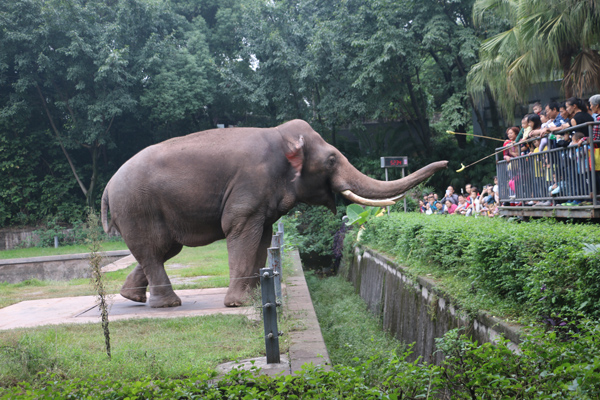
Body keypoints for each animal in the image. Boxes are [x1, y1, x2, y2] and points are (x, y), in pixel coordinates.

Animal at [101, 118, 448, 306]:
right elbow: (241, 230)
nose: (445, 163)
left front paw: (259, 296)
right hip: (137, 207)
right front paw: (238, 303)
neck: (281, 136)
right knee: (155, 249)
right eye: (332, 159)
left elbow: (264, 236)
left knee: (163, 250)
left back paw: (134, 299)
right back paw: (169, 303)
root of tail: (107, 186)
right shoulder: (249, 187)